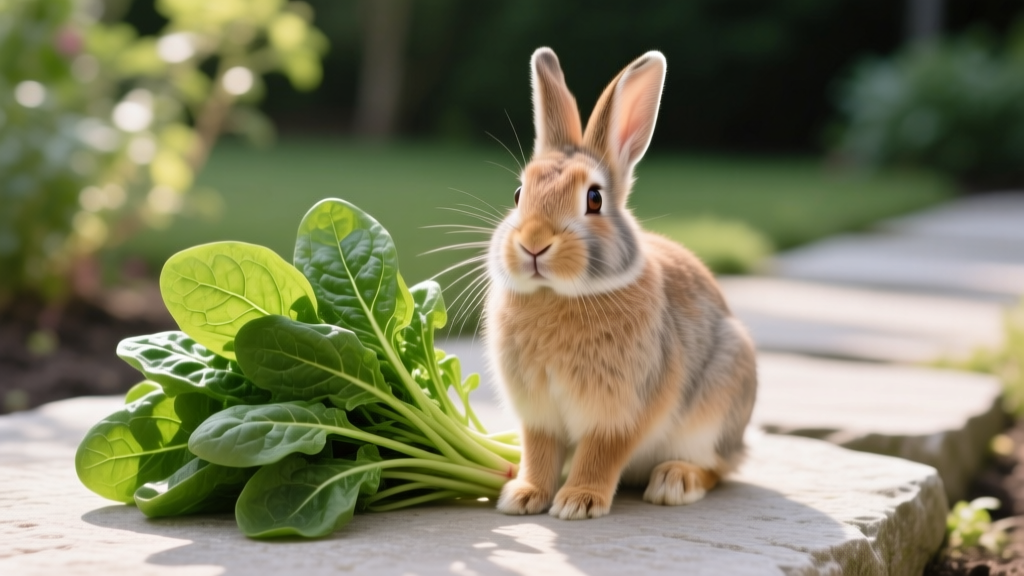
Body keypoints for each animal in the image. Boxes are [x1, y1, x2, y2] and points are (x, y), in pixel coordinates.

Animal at [483, 47, 758, 520]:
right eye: (519, 195)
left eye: (594, 199)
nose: (534, 243)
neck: (559, 295)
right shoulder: (538, 416)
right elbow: (539, 452)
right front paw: (522, 496)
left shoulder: (623, 412)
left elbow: (601, 452)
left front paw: (578, 502)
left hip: (718, 406)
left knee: (718, 468)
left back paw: (674, 482)